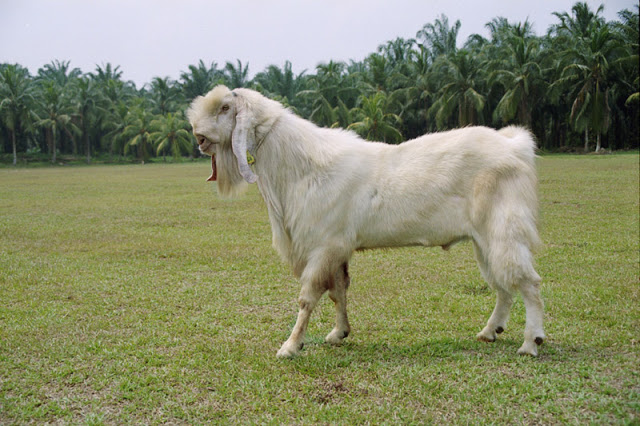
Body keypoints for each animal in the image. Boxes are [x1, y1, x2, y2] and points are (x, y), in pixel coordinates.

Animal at [187, 85, 545, 358]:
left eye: (224, 107)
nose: (198, 138)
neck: (301, 166)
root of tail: (516, 145)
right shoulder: (337, 248)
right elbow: (338, 291)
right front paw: (338, 333)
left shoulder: (324, 245)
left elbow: (308, 297)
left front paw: (290, 346)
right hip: (484, 240)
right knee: (503, 286)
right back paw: (490, 331)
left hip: (505, 228)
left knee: (528, 283)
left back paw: (531, 342)